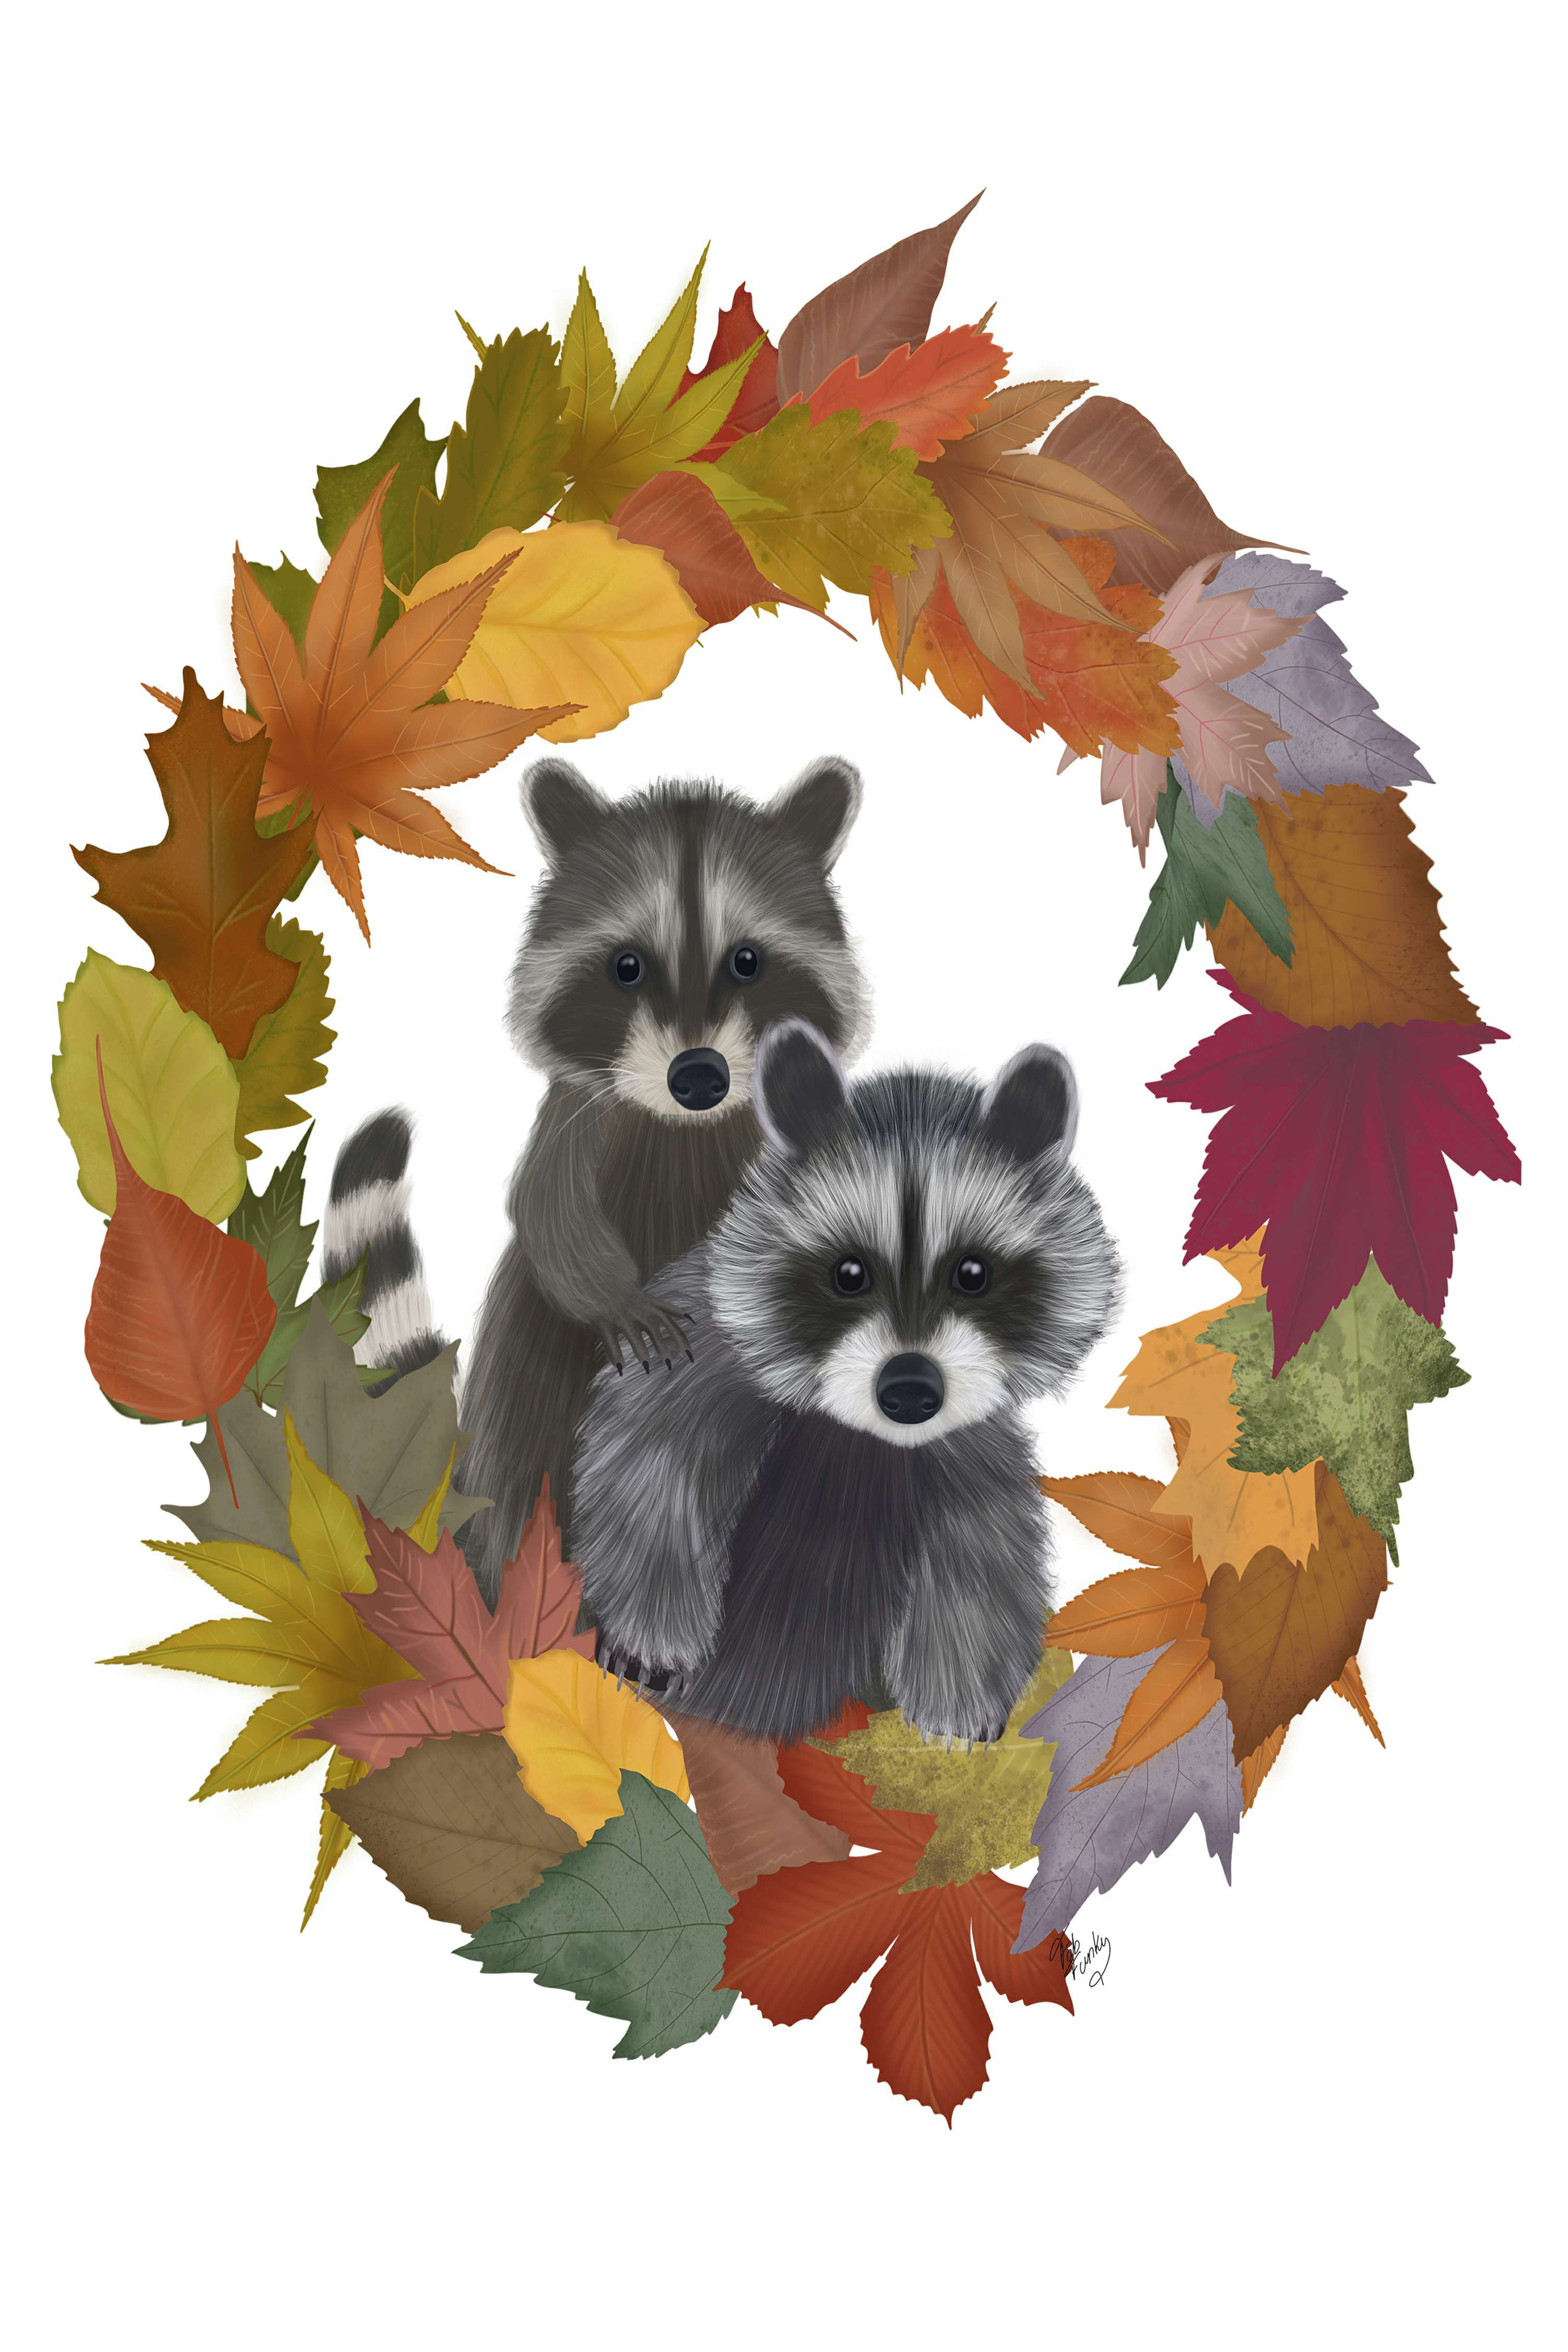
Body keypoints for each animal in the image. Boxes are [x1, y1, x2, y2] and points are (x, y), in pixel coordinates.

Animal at [322, 755, 869, 1606]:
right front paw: (612, 1294)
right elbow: (547, 1212)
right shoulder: (578, 1119)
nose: (699, 1077)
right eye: (626, 967)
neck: (685, 1127)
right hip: (527, 1398)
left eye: (749, 961)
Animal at [571, 1018, 1121, 1747]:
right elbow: (649, 1464)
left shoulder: (970, 1444)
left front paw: (959, 1700)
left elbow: (983, 1560)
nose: (910, 1390)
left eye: (973, 1273)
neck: (865, 1434)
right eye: (848, 1273)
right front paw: (650, 1628)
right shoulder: (705, 1349)